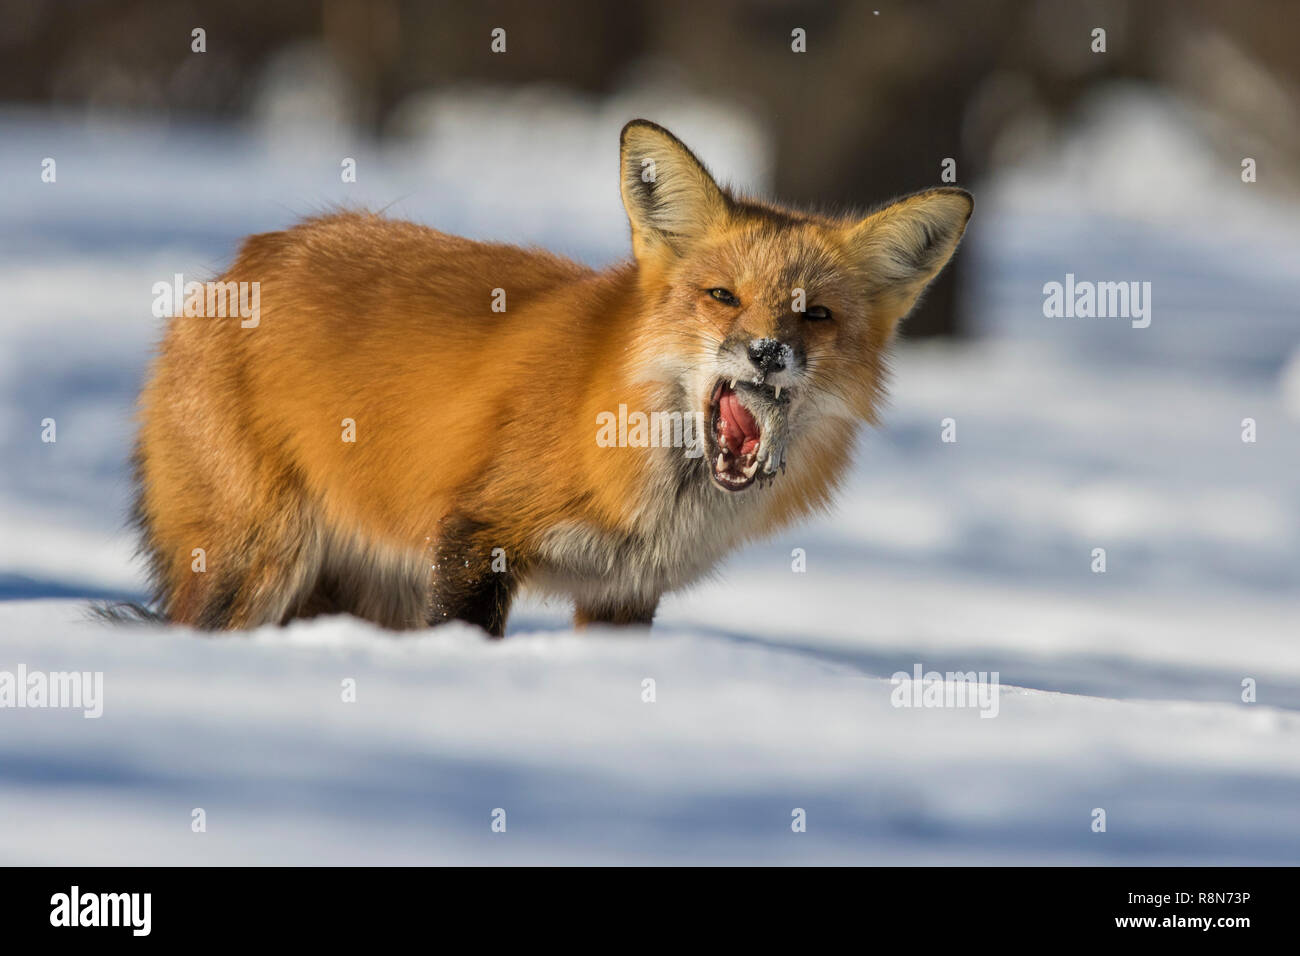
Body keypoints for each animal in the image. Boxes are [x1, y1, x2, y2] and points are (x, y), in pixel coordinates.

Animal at [125, 119, 971, 635]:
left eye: (815, 315)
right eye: (723, 296)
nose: (766, 352)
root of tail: (243, 262)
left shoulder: (623, 595)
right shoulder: (479, 536)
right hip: (257, 562)